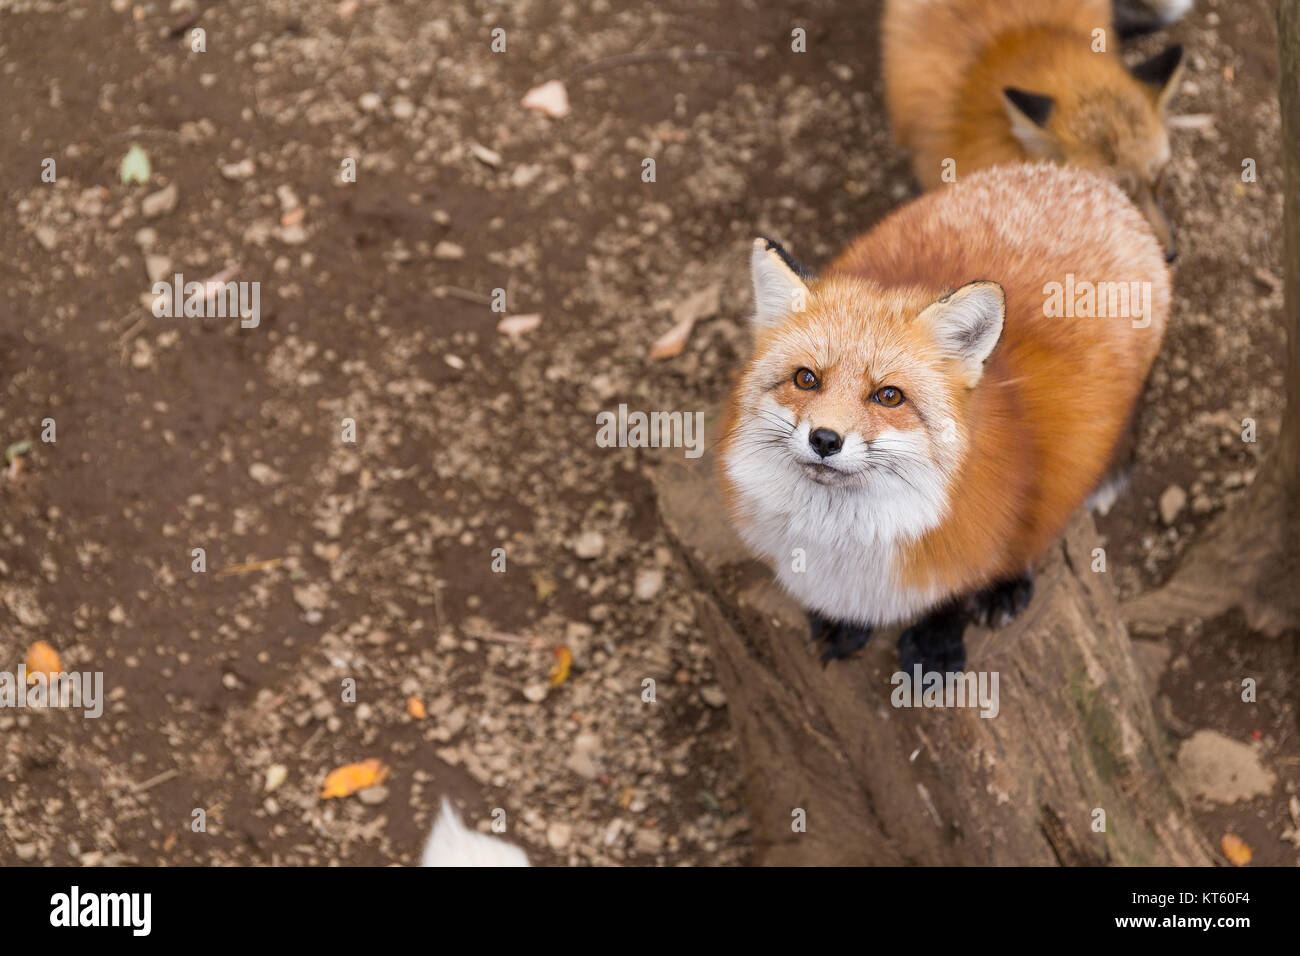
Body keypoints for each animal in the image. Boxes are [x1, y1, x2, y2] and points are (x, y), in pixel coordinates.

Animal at [719, 163, 1169, 672]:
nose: (825, 439)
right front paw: (846, 622)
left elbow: (960, 588)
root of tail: (1089, 181)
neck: (845, 542)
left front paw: (938, 641)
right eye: (806, 379)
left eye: (889, 396)